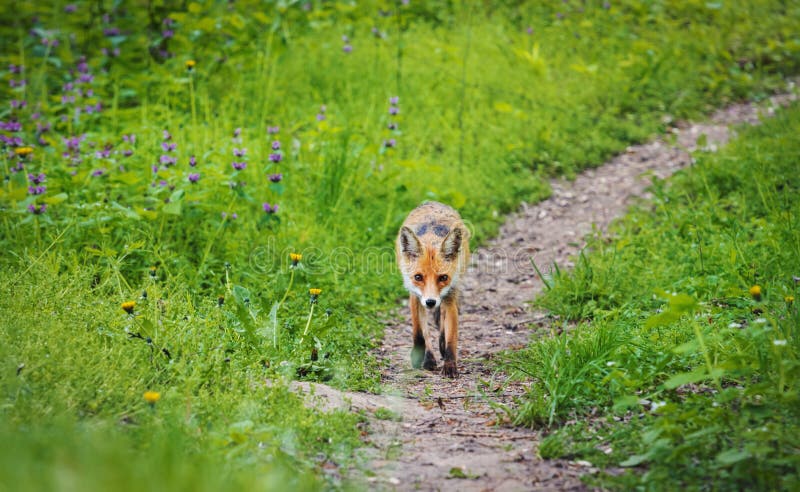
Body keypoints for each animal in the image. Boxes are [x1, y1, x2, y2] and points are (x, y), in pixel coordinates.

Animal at [396, 201, 470, 378]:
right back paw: (429, 359)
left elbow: (451, 337)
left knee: (442, 321)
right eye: (418, 277)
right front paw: (421, 356)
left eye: (443, 277)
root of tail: (433, 202)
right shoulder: (415, 296)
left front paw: (450, 365)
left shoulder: (450, 296)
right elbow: (420, 332)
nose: (430, 302)